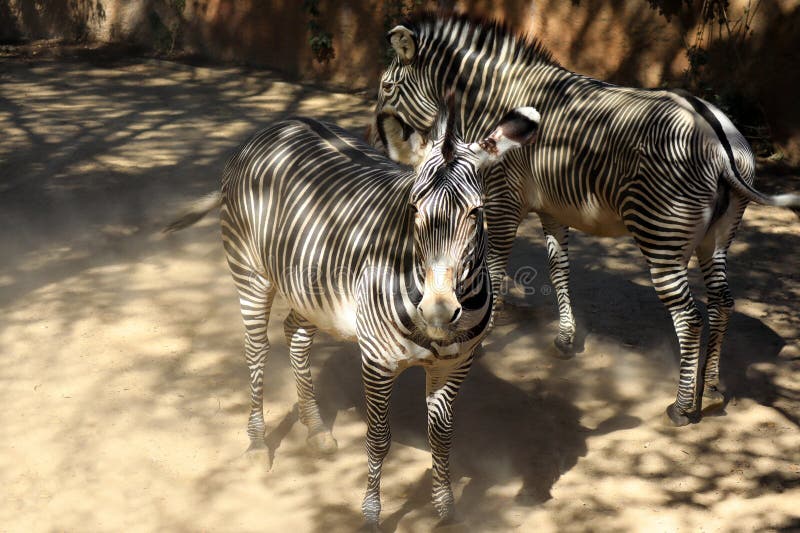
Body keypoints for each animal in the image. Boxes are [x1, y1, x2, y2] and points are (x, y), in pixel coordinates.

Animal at [164, 101, 541, 525]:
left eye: (476, 213)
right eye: (413, 209)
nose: (438, 311)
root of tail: (278, 126)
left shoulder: (456, 364)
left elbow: (442, 438)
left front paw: (446, 510)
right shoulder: (377, 361)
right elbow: (378, 439)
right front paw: (372, 515)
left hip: (311, 289)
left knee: (294, 335)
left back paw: (314, 428)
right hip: (251, 273)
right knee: (256, 352)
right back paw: (258, 444)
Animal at [371, 12, 800, 426]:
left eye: (388, 88)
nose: (378, 144)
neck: (491, 97)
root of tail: (717, 134)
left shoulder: (501, 198)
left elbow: (493, 268)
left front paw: (483, 336)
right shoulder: (551, 209)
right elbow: (559, 269)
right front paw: (564, 339)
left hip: (661, 235)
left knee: (690, 318)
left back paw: (682, 407)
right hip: (717, 238)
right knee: (722, 303)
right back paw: (709, 389)